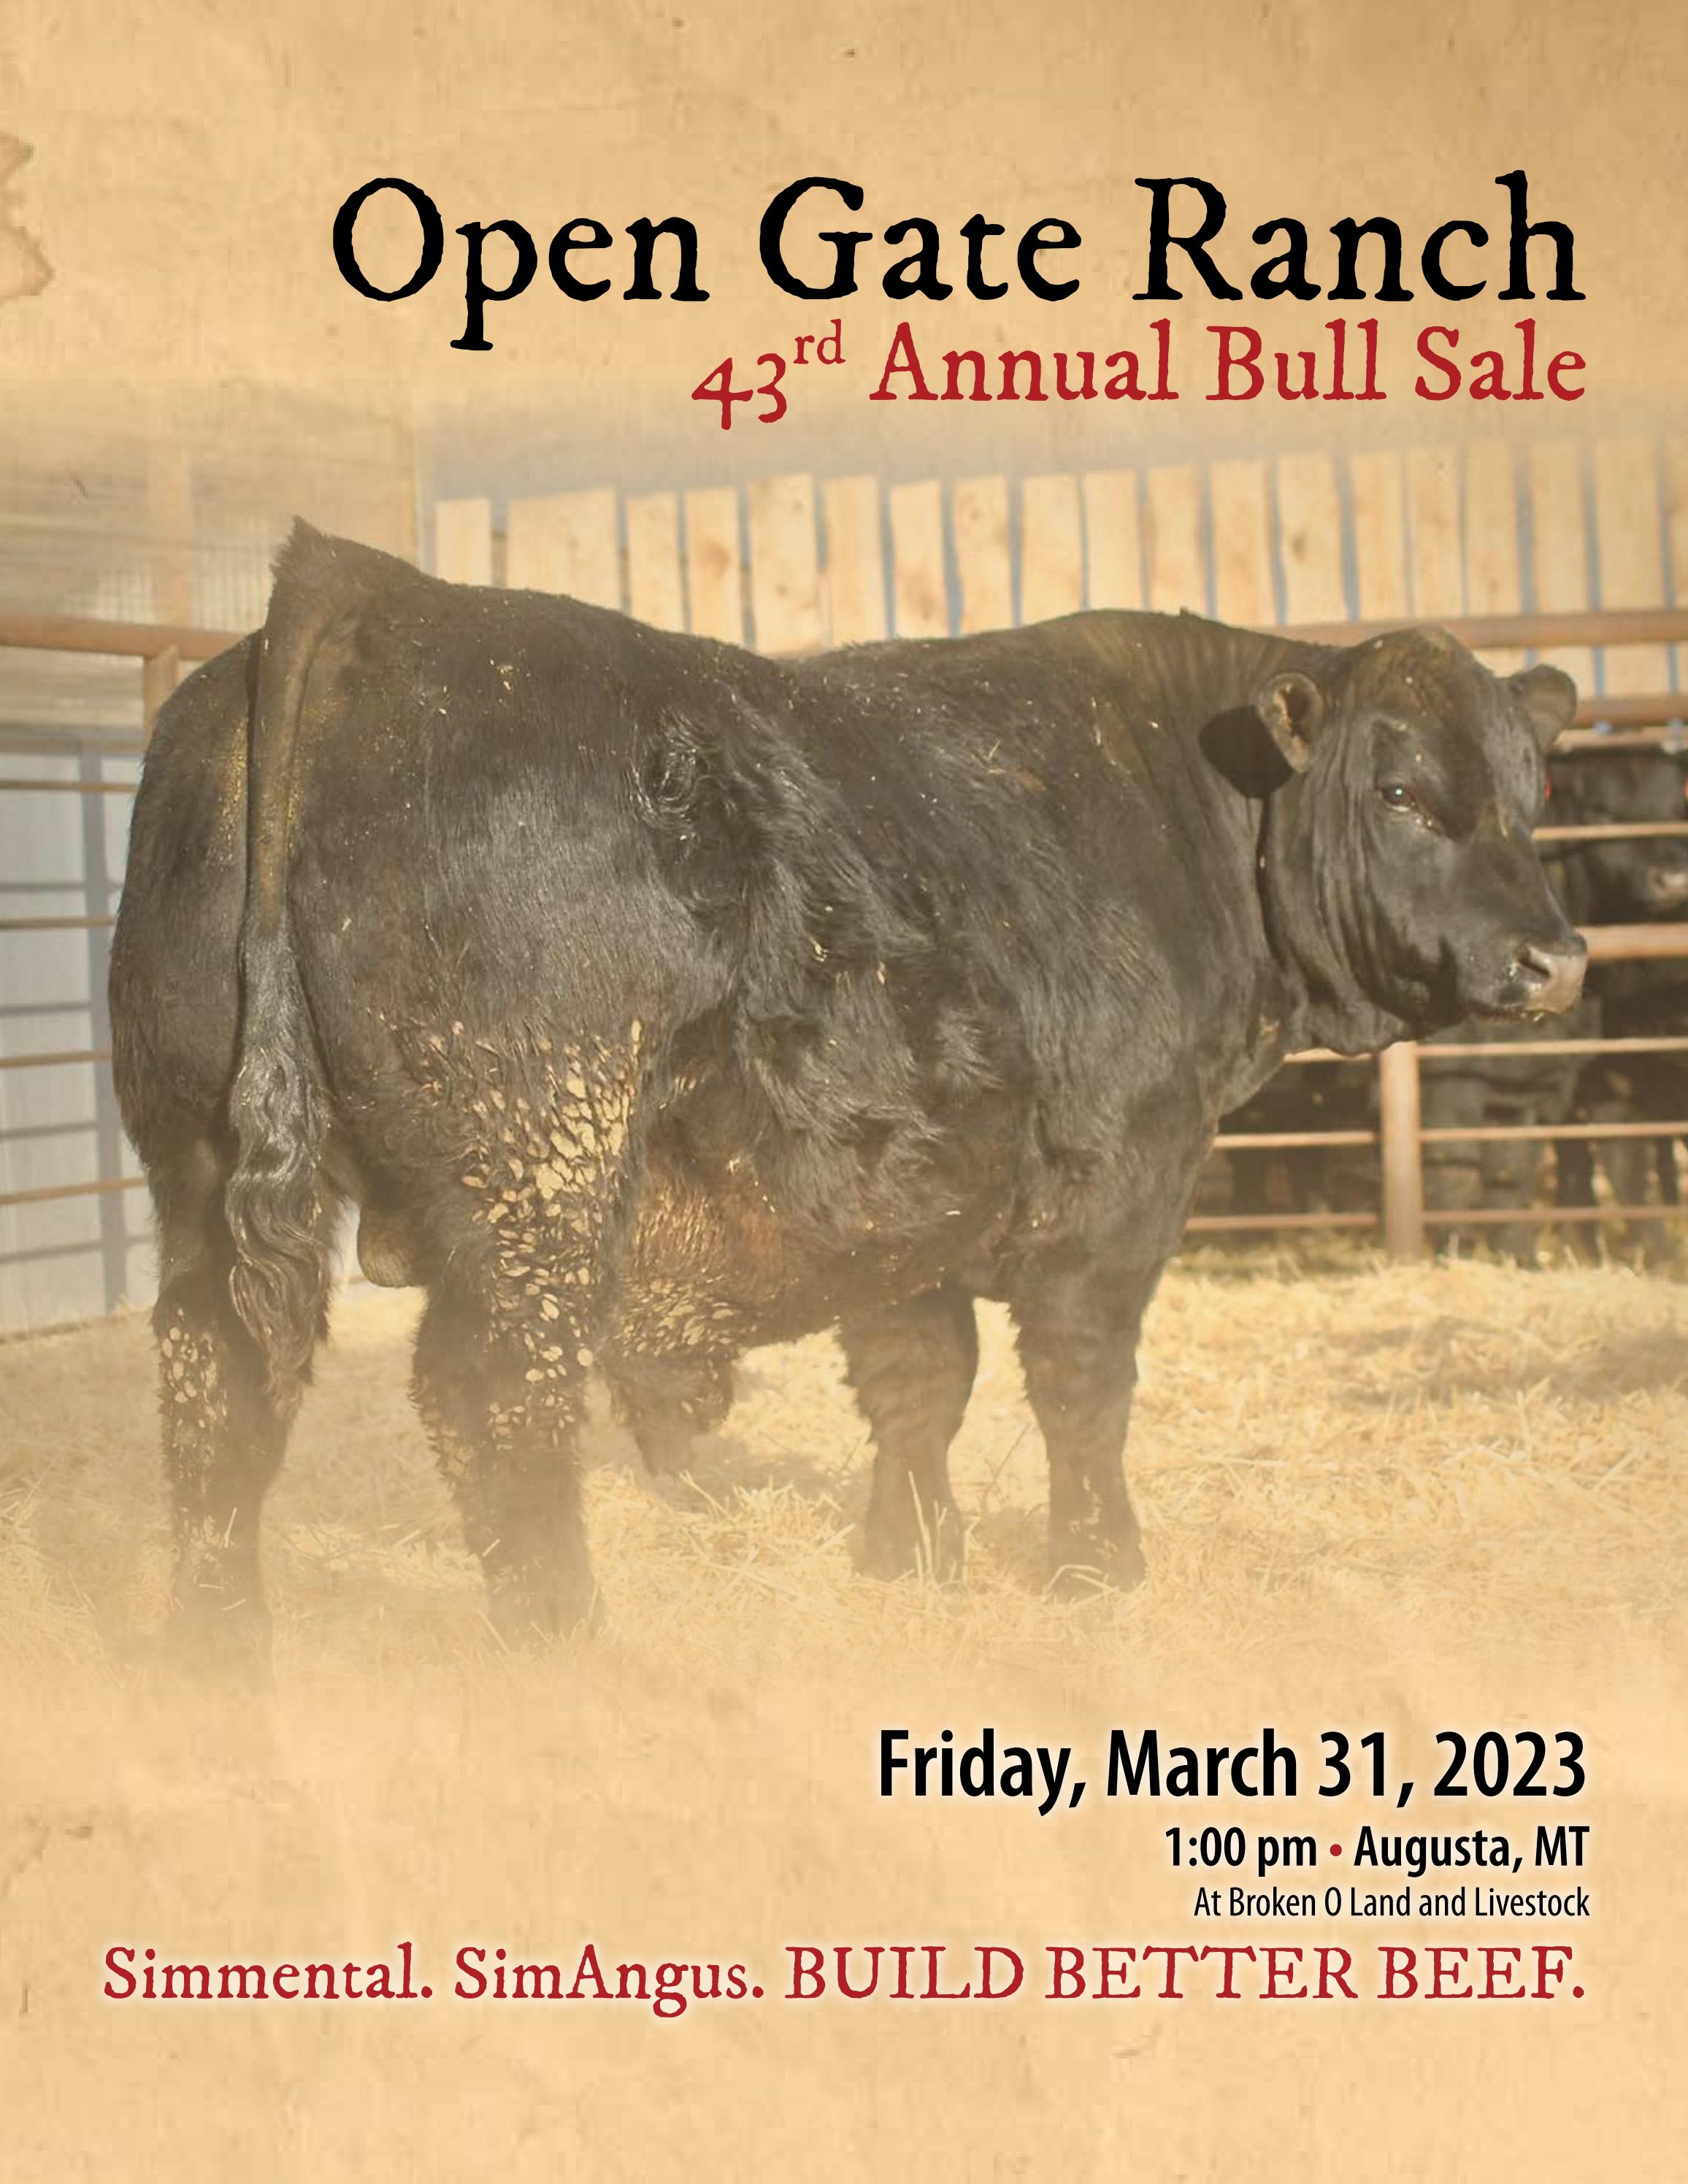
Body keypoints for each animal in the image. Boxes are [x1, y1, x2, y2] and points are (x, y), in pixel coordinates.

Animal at [109, 523, 1586, 1666]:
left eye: (1530, 793)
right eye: (1399, 790)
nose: (1555, 958)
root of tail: (376, 592)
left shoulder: (900, 1195)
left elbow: (918, 1380)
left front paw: (909, 1558)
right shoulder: (1121, 1183)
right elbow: (1081, 1388)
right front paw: (1099, 1570)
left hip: (198, 1170)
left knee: (211, 1380)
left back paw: (215, 1643)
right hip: (536, 1170)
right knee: (498, 1394)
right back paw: (564, 1639)